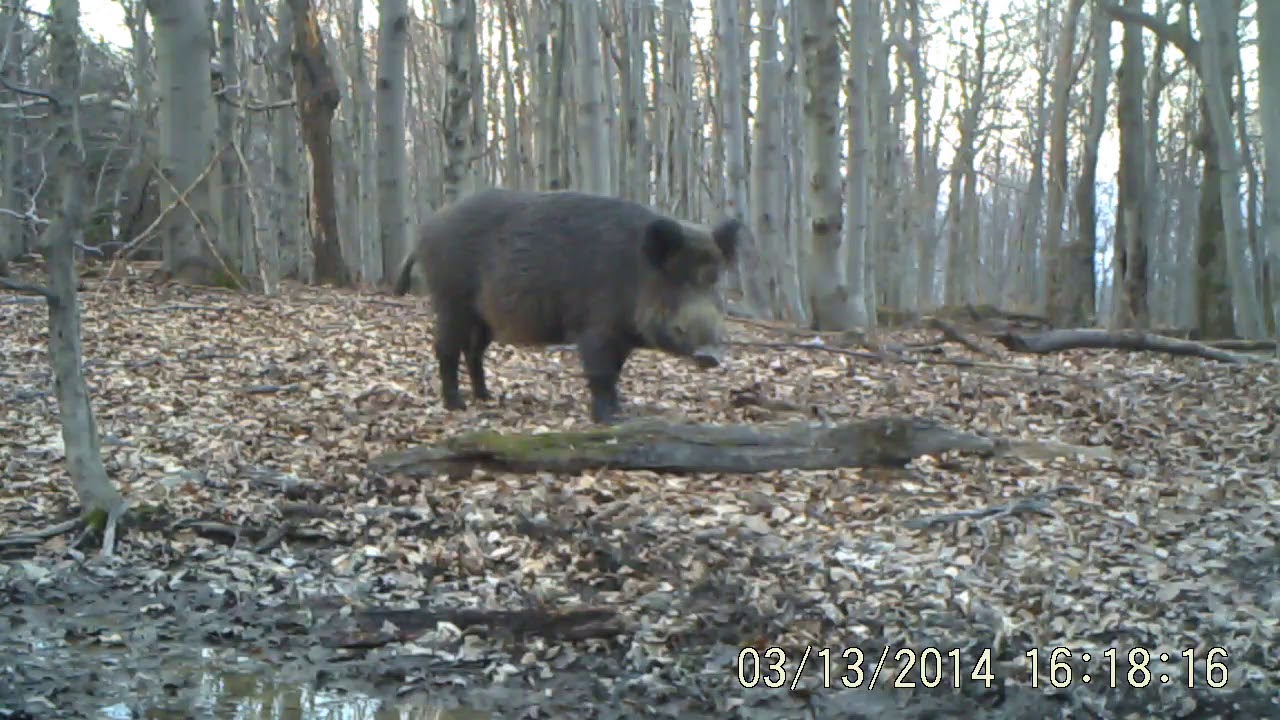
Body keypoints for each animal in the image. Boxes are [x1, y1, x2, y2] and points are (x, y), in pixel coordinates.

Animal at [393, 188, 742, 424]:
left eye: (716, 282)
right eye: (675, 280)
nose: (709, 355)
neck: (635, 274)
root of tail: (425, 231)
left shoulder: (621, 337)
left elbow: (616, 373)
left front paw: (619, 411)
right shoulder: (595, 328)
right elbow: (601, 373)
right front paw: (607, 420)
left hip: (484, 317)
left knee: (474, 351)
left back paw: (486, 397)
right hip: (451, 300)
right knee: (445, 348)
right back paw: (457, 405)